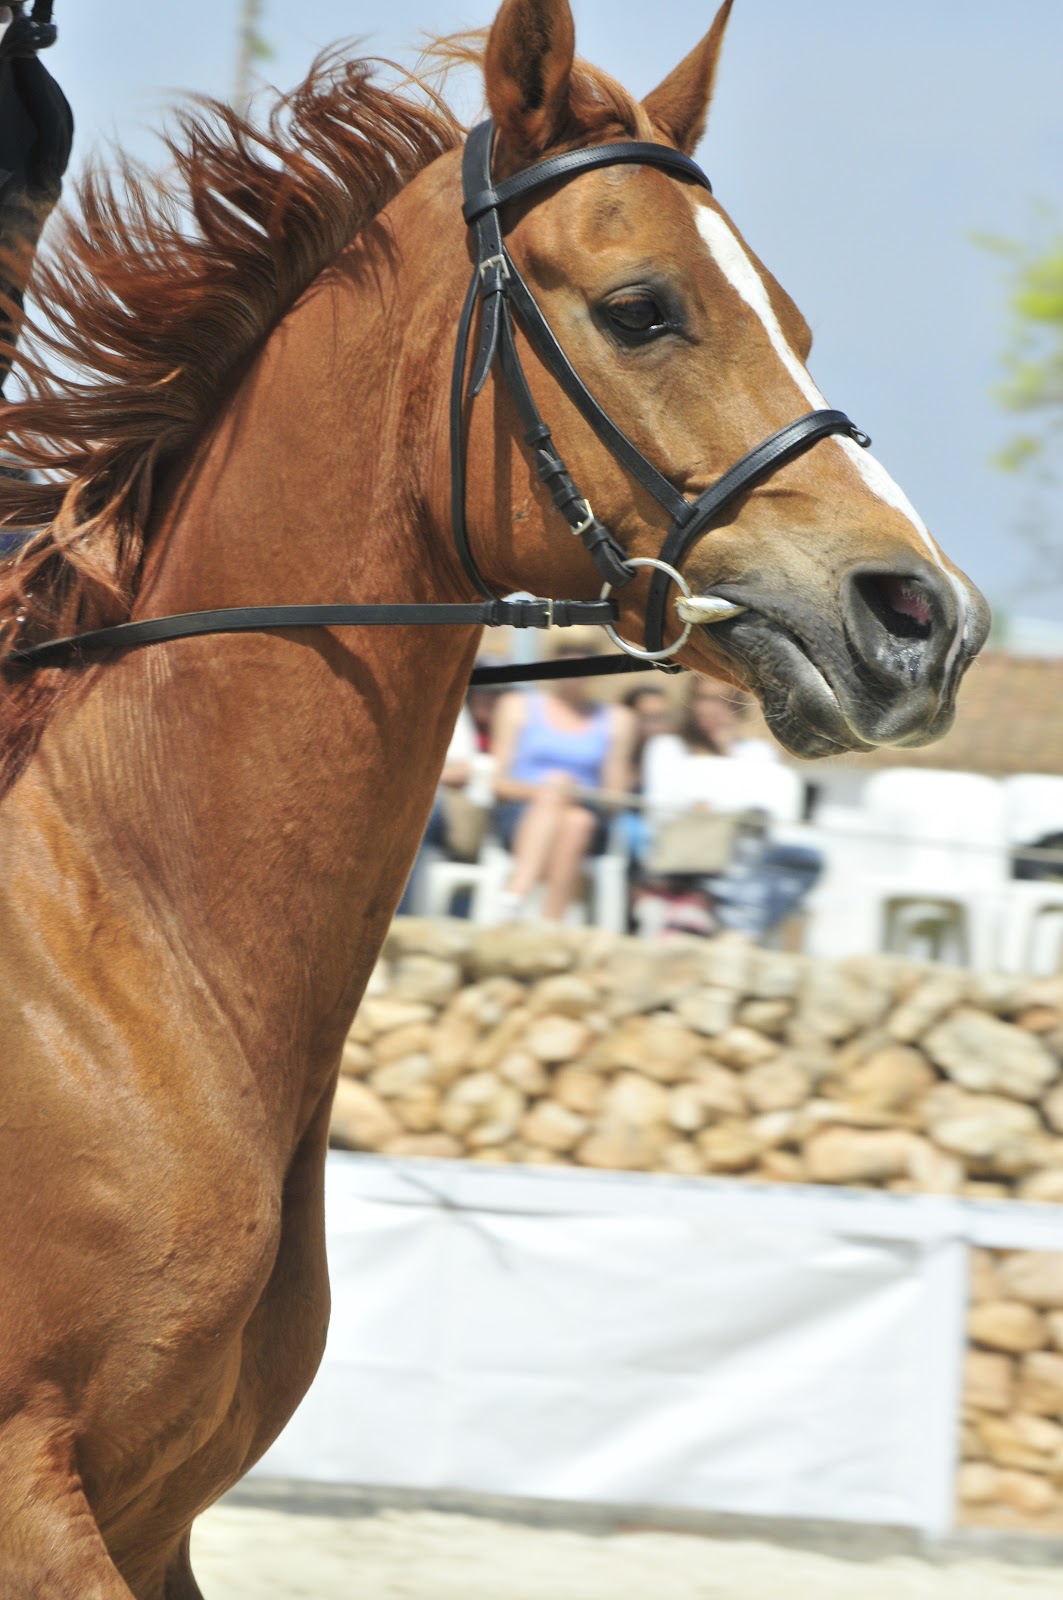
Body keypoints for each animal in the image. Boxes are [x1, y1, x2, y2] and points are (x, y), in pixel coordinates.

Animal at [0, 0, 989, 1593]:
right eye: (641, 309)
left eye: (790, 317)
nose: (923, 618)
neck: (115, 943)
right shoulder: (31, 1493)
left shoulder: (153, 1528)